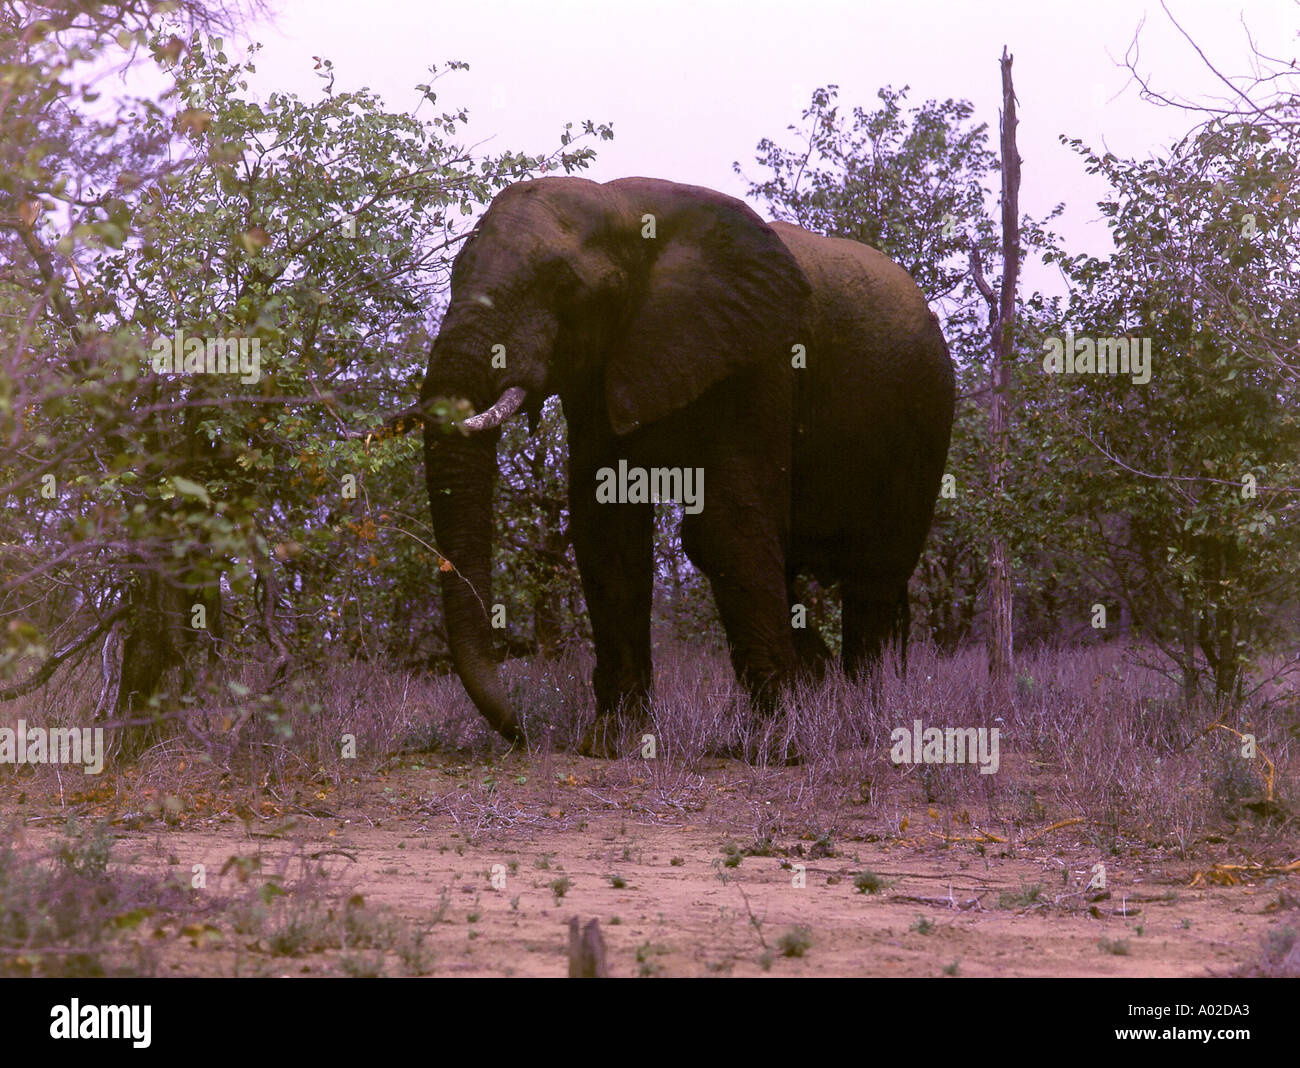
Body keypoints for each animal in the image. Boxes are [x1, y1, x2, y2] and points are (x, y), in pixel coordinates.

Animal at [419, 176, 955, 756]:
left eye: (566, 286)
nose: (520, 732)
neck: (625, 209)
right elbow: (607, 527)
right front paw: (611, 743)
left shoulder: (757, 356)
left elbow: (728, 525)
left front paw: (774, 748)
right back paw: (822, 690)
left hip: (925, 417)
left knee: (874, 575)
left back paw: (860, 720)